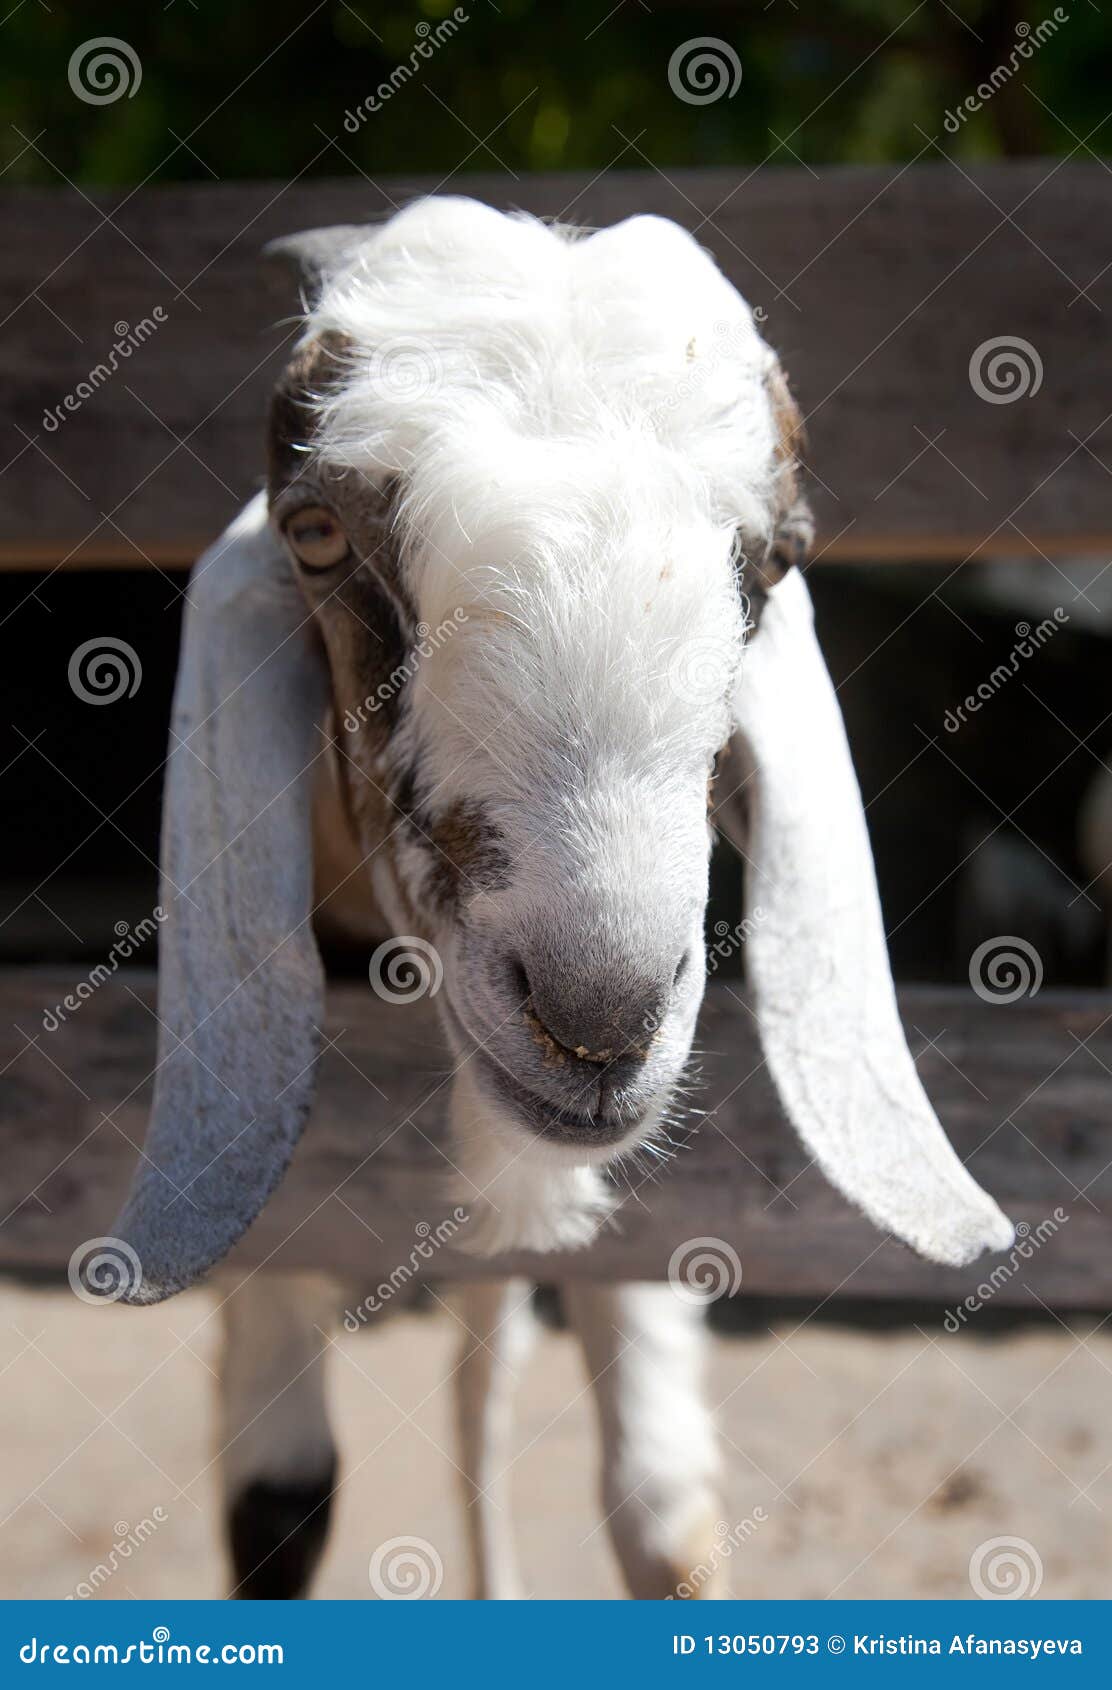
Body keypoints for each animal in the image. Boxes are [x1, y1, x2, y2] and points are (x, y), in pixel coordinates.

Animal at [108, 197, 1013, 1597]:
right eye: (314, 534)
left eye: (776, 557)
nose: (597, 1015)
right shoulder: (273, 1240)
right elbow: (280, 1506)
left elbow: (661, 1517)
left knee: (485, 1369)